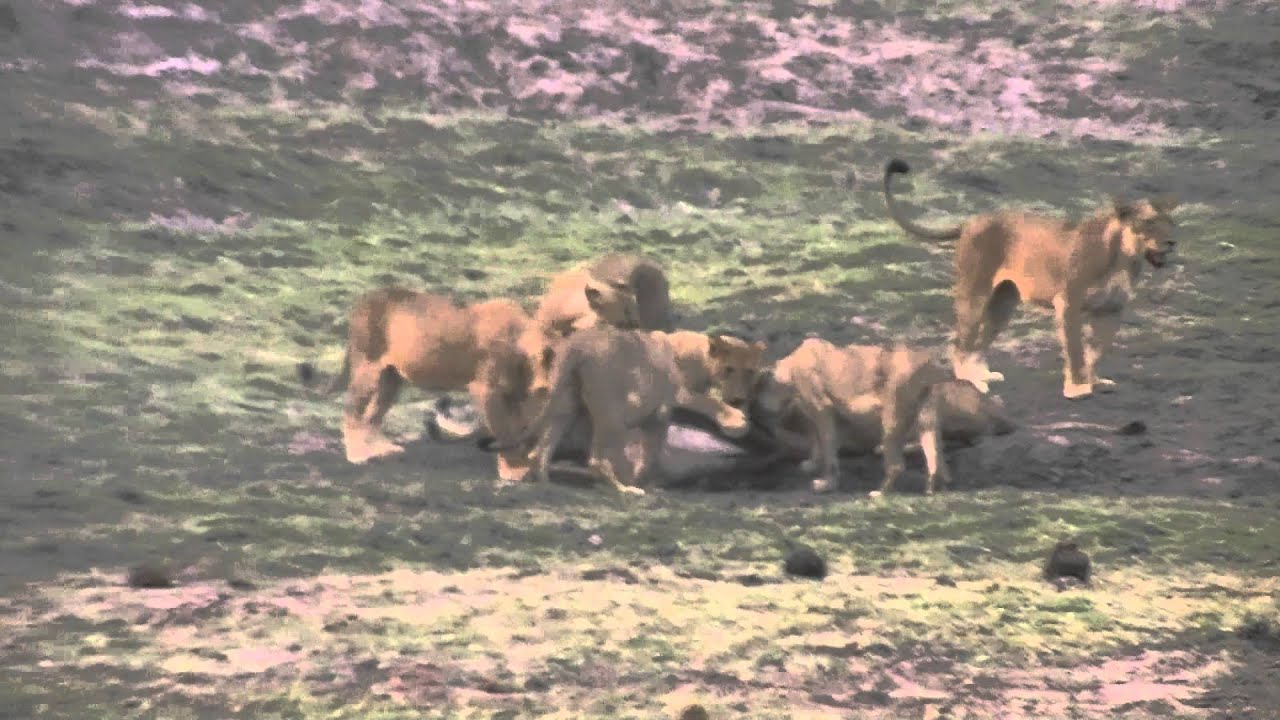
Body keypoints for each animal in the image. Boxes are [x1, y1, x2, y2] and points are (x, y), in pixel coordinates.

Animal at [328, 287, 535, 467]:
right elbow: (504, 431)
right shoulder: (485, 389)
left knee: (373, 417)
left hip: (391, 378)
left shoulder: (513, 396)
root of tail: (363, 300)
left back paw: (383, 449)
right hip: (368, 369)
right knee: (352, 413)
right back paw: (356, 456)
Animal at [752, 337, 957, 496]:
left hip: (891, 420)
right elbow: (822, 444)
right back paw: (934, 488)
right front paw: (812, 465)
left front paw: (825, 484)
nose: (757, 416)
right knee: (935, 457)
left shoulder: (823, 410)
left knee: (897, 465)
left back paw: (880, 493)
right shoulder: (841, 418)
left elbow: (827, 447)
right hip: (926, 423)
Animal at [883, 158, 1179, 400]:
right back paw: (971, 383)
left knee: (979, 342)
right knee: (959, 344)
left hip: (1003, 303)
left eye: (1170, 222)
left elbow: (1096, 351)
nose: (1172, 242)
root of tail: (970, 222)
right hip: (975, 293)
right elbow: (1076, 350)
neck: (1124, 258)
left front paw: (1094, 381)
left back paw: (982, 375)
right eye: (1149, 223)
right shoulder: (1069, 303)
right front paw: (1077, 388)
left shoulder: (1111, 310)